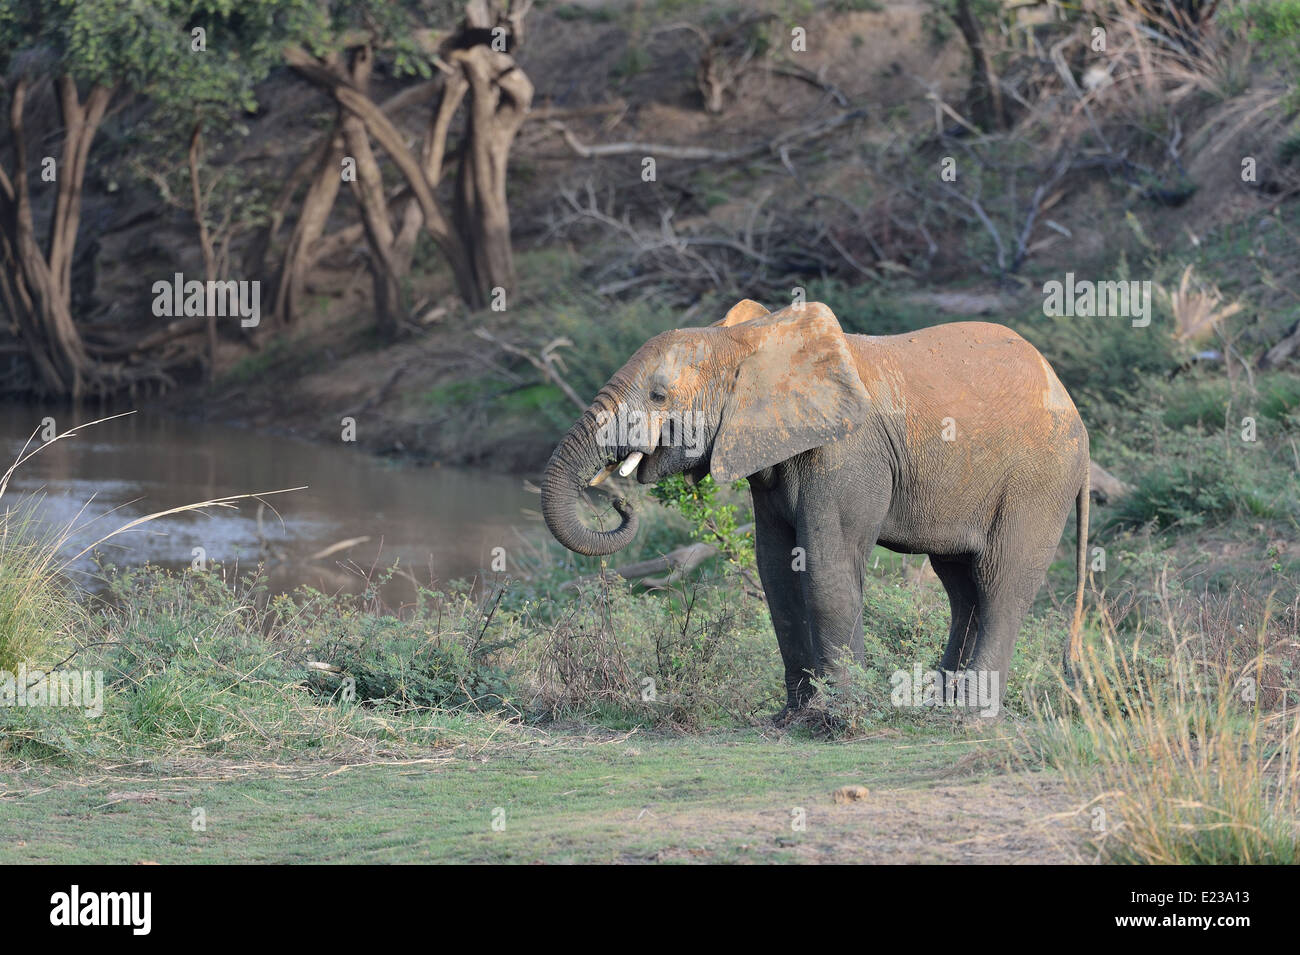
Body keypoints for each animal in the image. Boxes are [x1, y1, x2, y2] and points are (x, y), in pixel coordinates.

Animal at [540, 299, 1089, 721]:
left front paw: (839, 715)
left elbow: (827, 567)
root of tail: (1071, 405)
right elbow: (776, 573)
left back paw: (970, 716)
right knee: (961, 586)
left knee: (1002, 580)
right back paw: (938, 705)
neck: (745, 342)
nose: (617, 500)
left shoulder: (846, 453)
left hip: (1040, 479)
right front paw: (792, 717)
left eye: (659, 395)